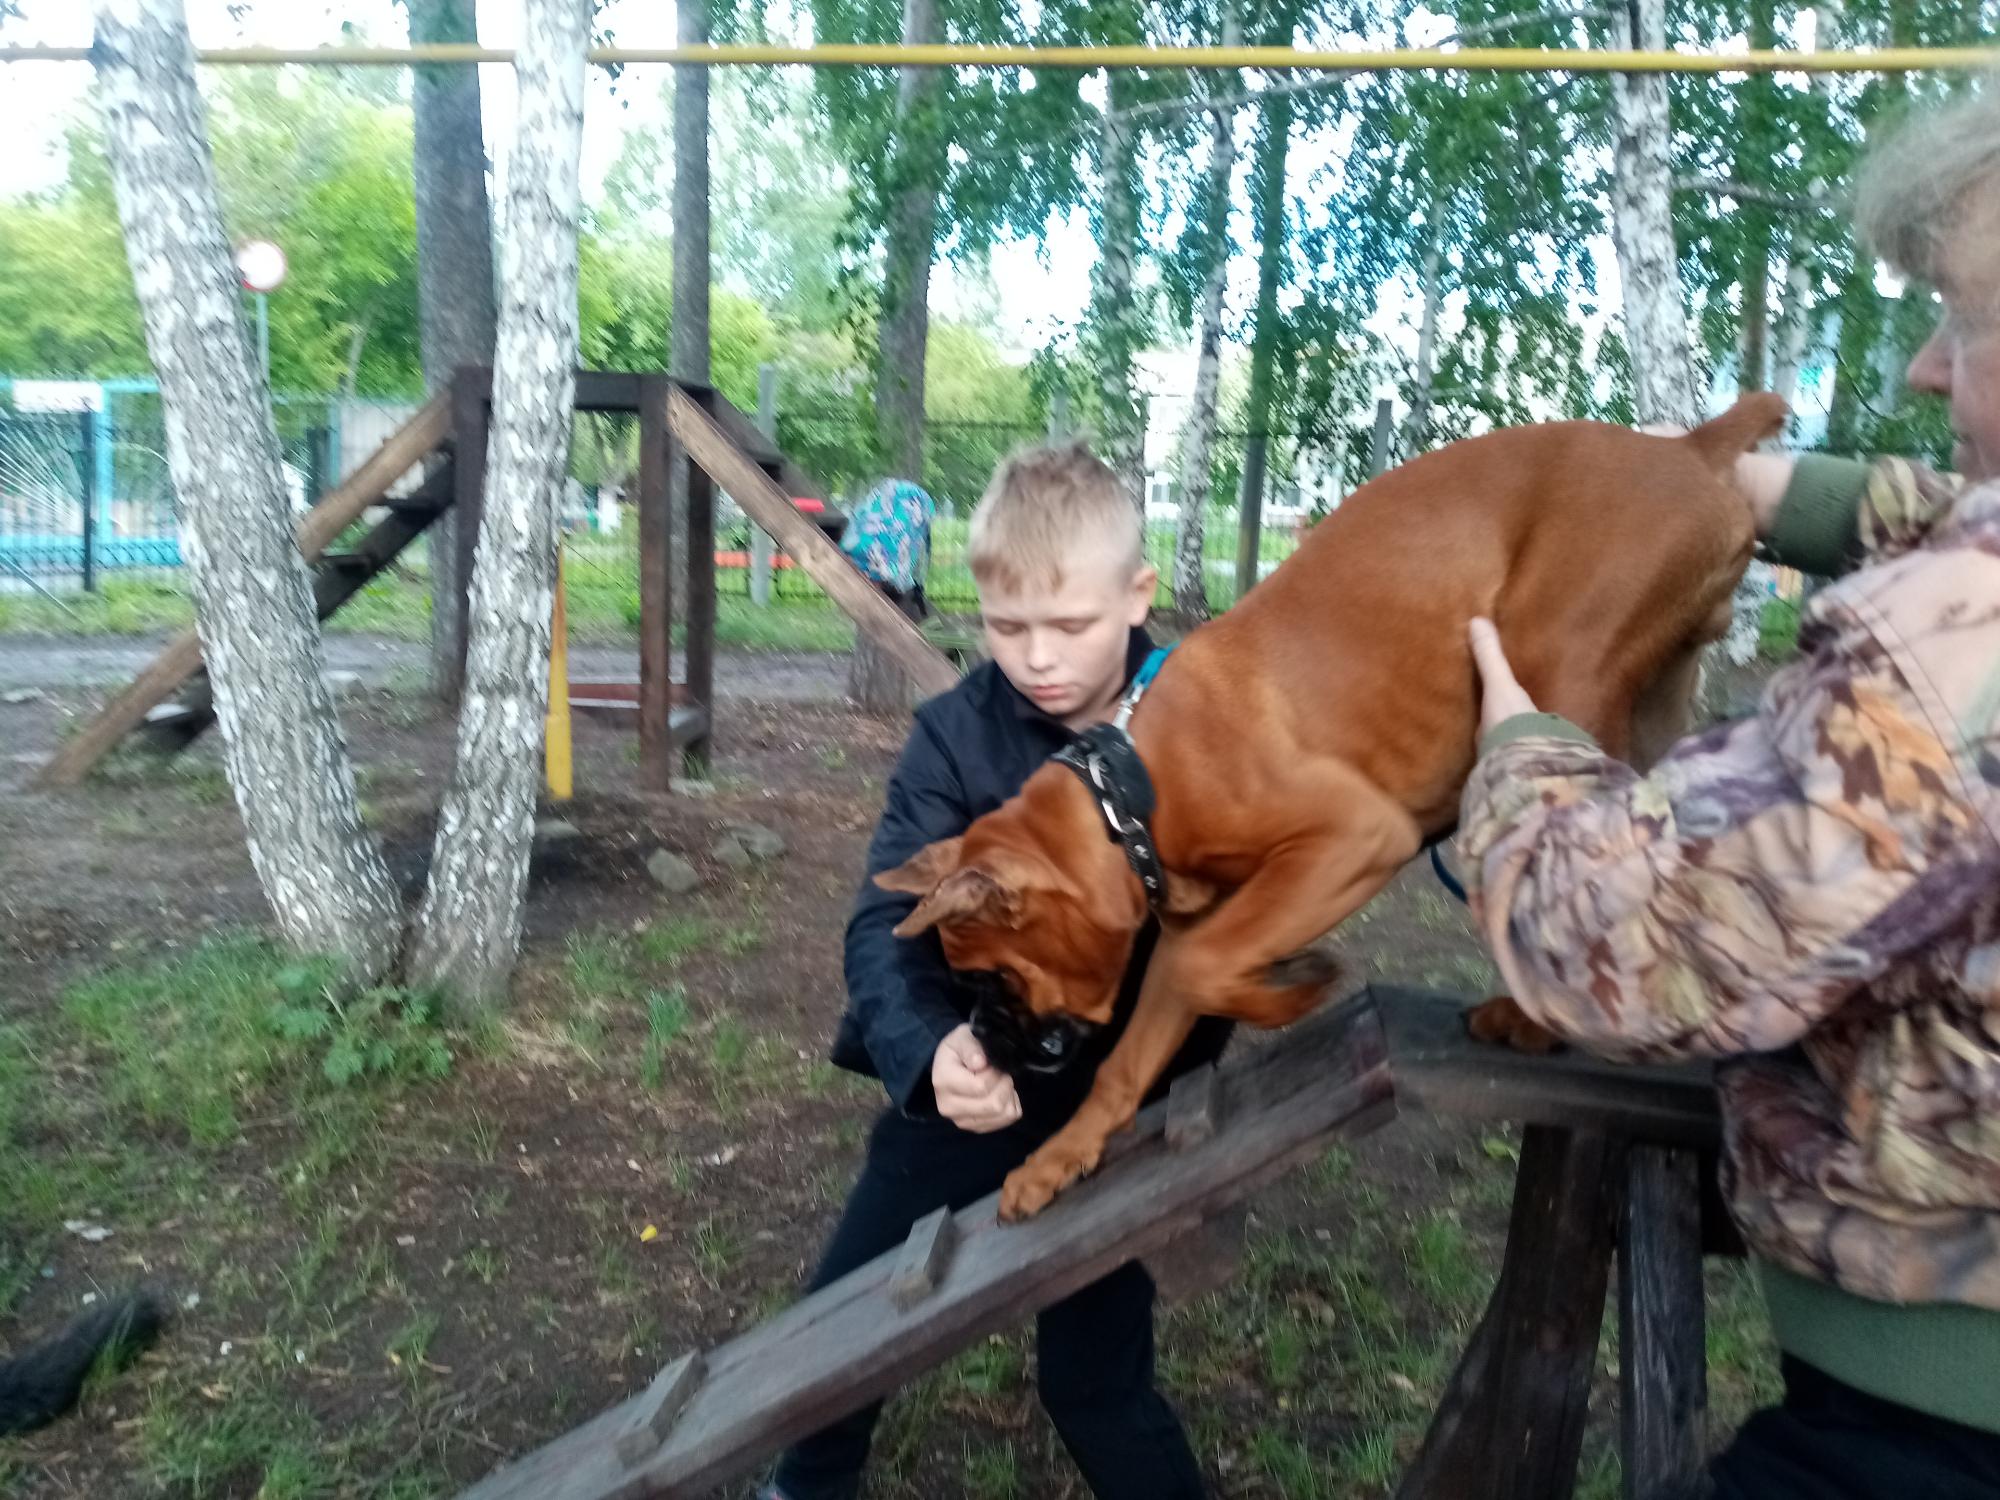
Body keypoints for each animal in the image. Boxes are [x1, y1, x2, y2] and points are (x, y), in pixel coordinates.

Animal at [876, 400, 1784, 1224]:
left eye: (991, 976)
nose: (983, 1039)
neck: (1126, 791)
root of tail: (1690, 447)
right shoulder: (1183, 923)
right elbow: (1133, 1051)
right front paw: (1059, 1157)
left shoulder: (1351, 838)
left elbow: (1205, 964)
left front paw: (1297, 989)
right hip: (1652, 700)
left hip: (1558, 665)